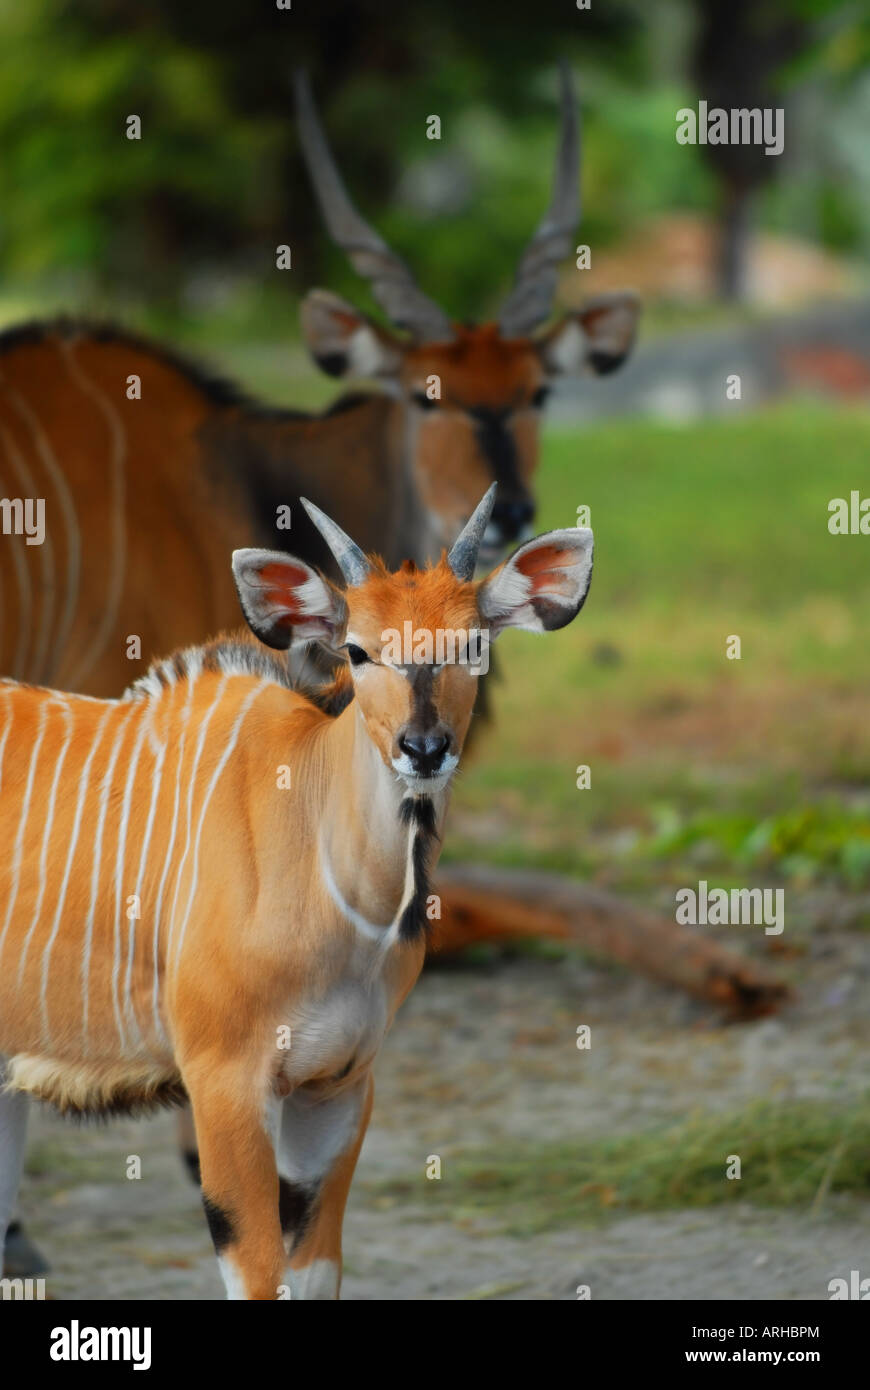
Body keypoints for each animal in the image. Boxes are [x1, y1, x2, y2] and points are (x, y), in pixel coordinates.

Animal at [0, 489, 595, 1299]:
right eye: (358, 651)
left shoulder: (339, 1086)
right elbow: (258, 1275)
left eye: (474, 645)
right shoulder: (224, 1084)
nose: (424, 748)